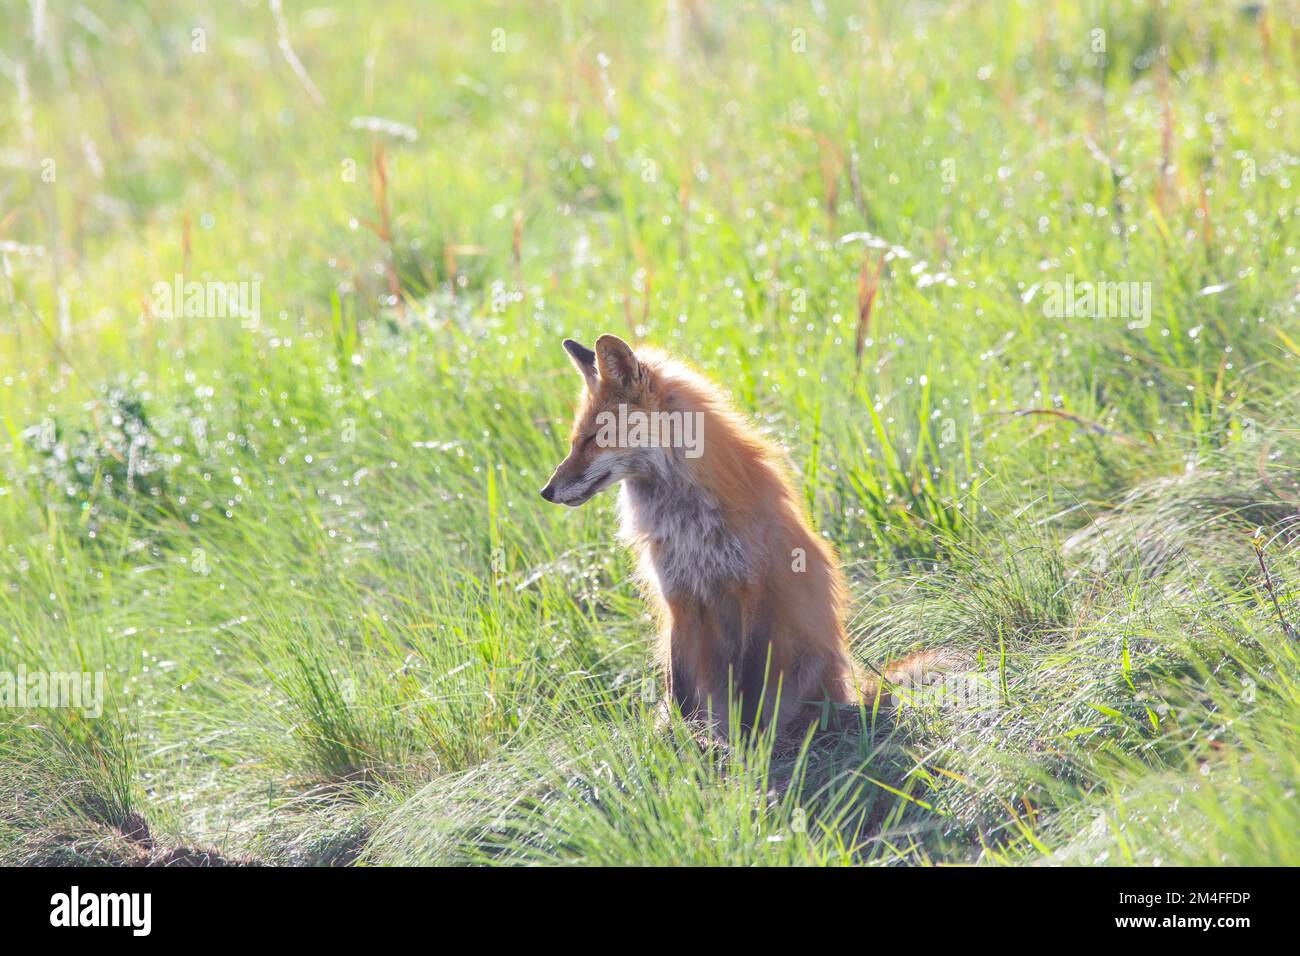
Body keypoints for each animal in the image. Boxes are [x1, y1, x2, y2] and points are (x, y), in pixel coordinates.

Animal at [540, 334, 945, 739]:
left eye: (594, 437)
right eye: (575, 441)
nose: (546, 492)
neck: (686, 519)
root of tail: (850, 690)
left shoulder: (754, 589)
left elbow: (750, 682)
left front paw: (749, 741)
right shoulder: (678, 597)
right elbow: (679, 687)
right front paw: (683, 740)